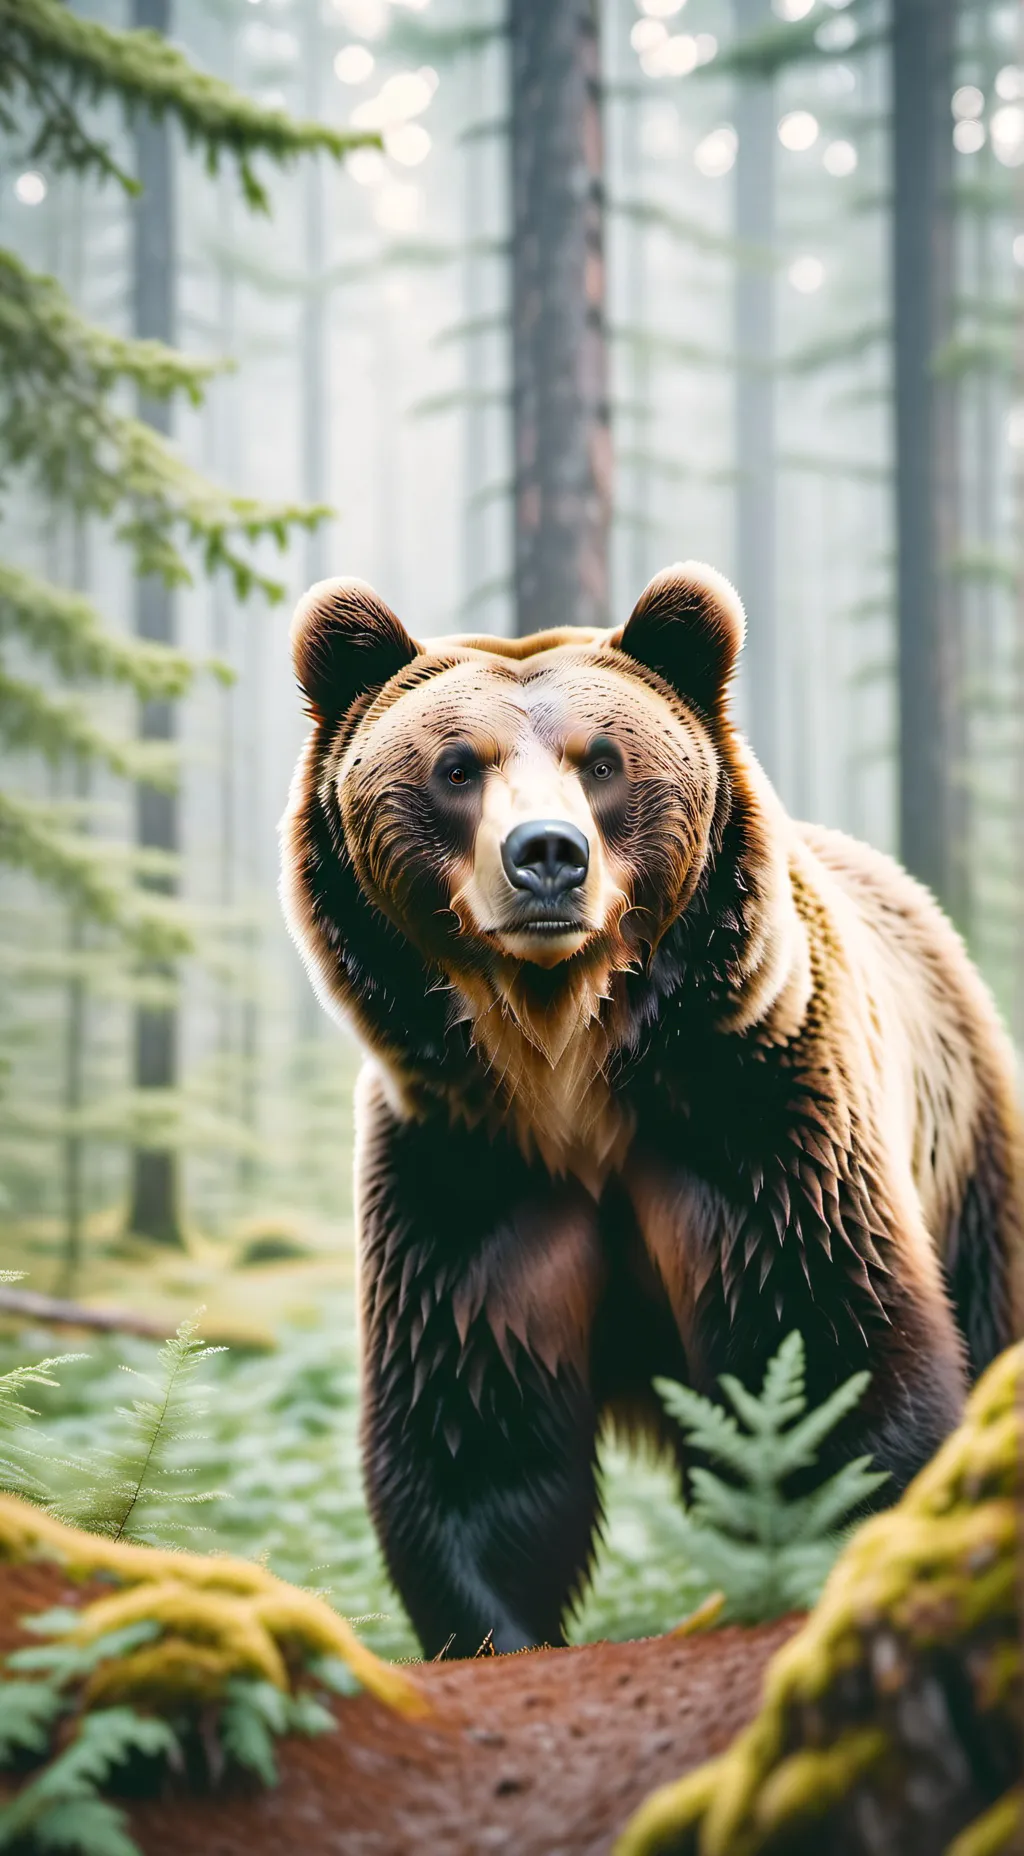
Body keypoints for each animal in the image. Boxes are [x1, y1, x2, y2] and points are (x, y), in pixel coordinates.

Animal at [281, 561, 1024, 1659]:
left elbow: (829, 1361)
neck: (570, 1077)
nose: (547, 854)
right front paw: (495, 1627)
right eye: (456, 766)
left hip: (963, 1135)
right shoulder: (466, 1170)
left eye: (603, 761)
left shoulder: (764, 1126)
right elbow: (476, 1432)